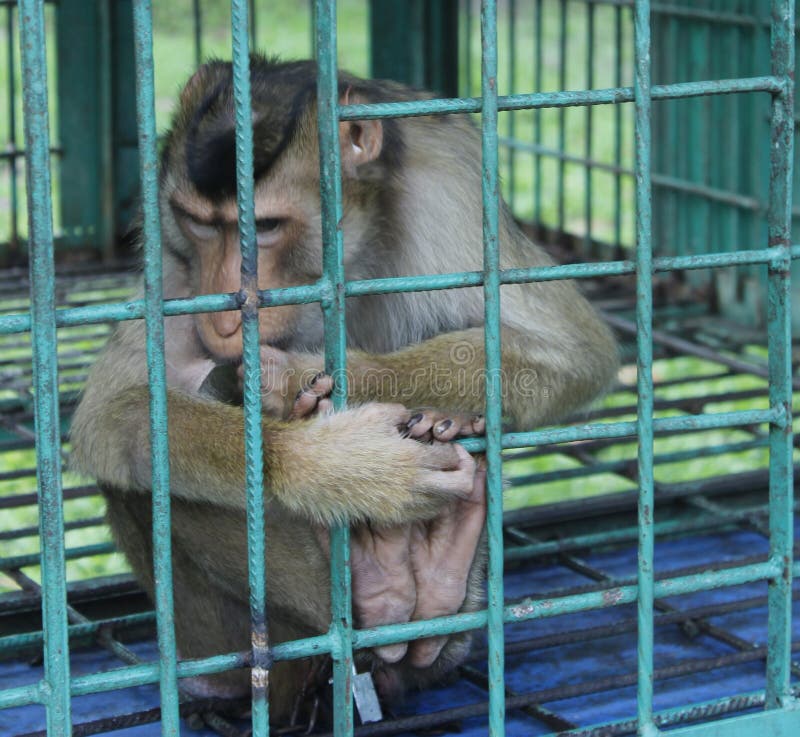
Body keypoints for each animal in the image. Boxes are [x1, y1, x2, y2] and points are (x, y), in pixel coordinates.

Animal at [69, 57, 618, 725]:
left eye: (266, 228)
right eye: (200, 224)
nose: (224, 313)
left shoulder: (449, 191)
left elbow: (575, 350)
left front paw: (294, 380)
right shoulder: (172, 259)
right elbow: (113, 411)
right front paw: (336, 463)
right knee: (143, 475)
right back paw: (378, 589)